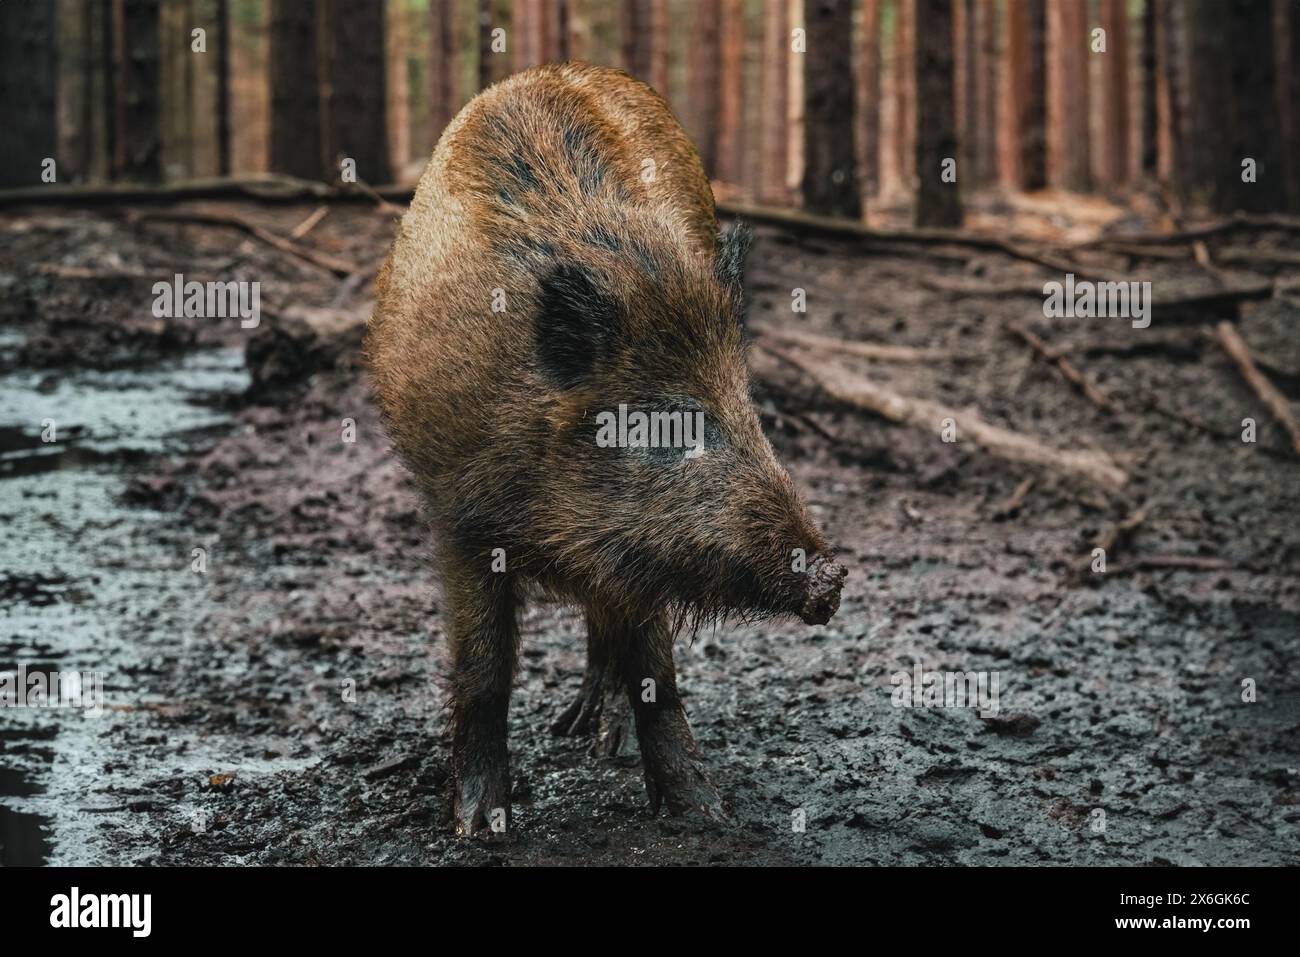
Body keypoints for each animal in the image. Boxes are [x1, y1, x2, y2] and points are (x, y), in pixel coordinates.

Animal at [367, 63, 846, 836]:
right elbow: (482, 670)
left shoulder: (643, 548)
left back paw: (599, 737)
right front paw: (480, 825)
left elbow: (656, 671)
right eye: (666, 423)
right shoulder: (459, 519)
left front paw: (705, 814)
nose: (831, 577)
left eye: (748, 409)